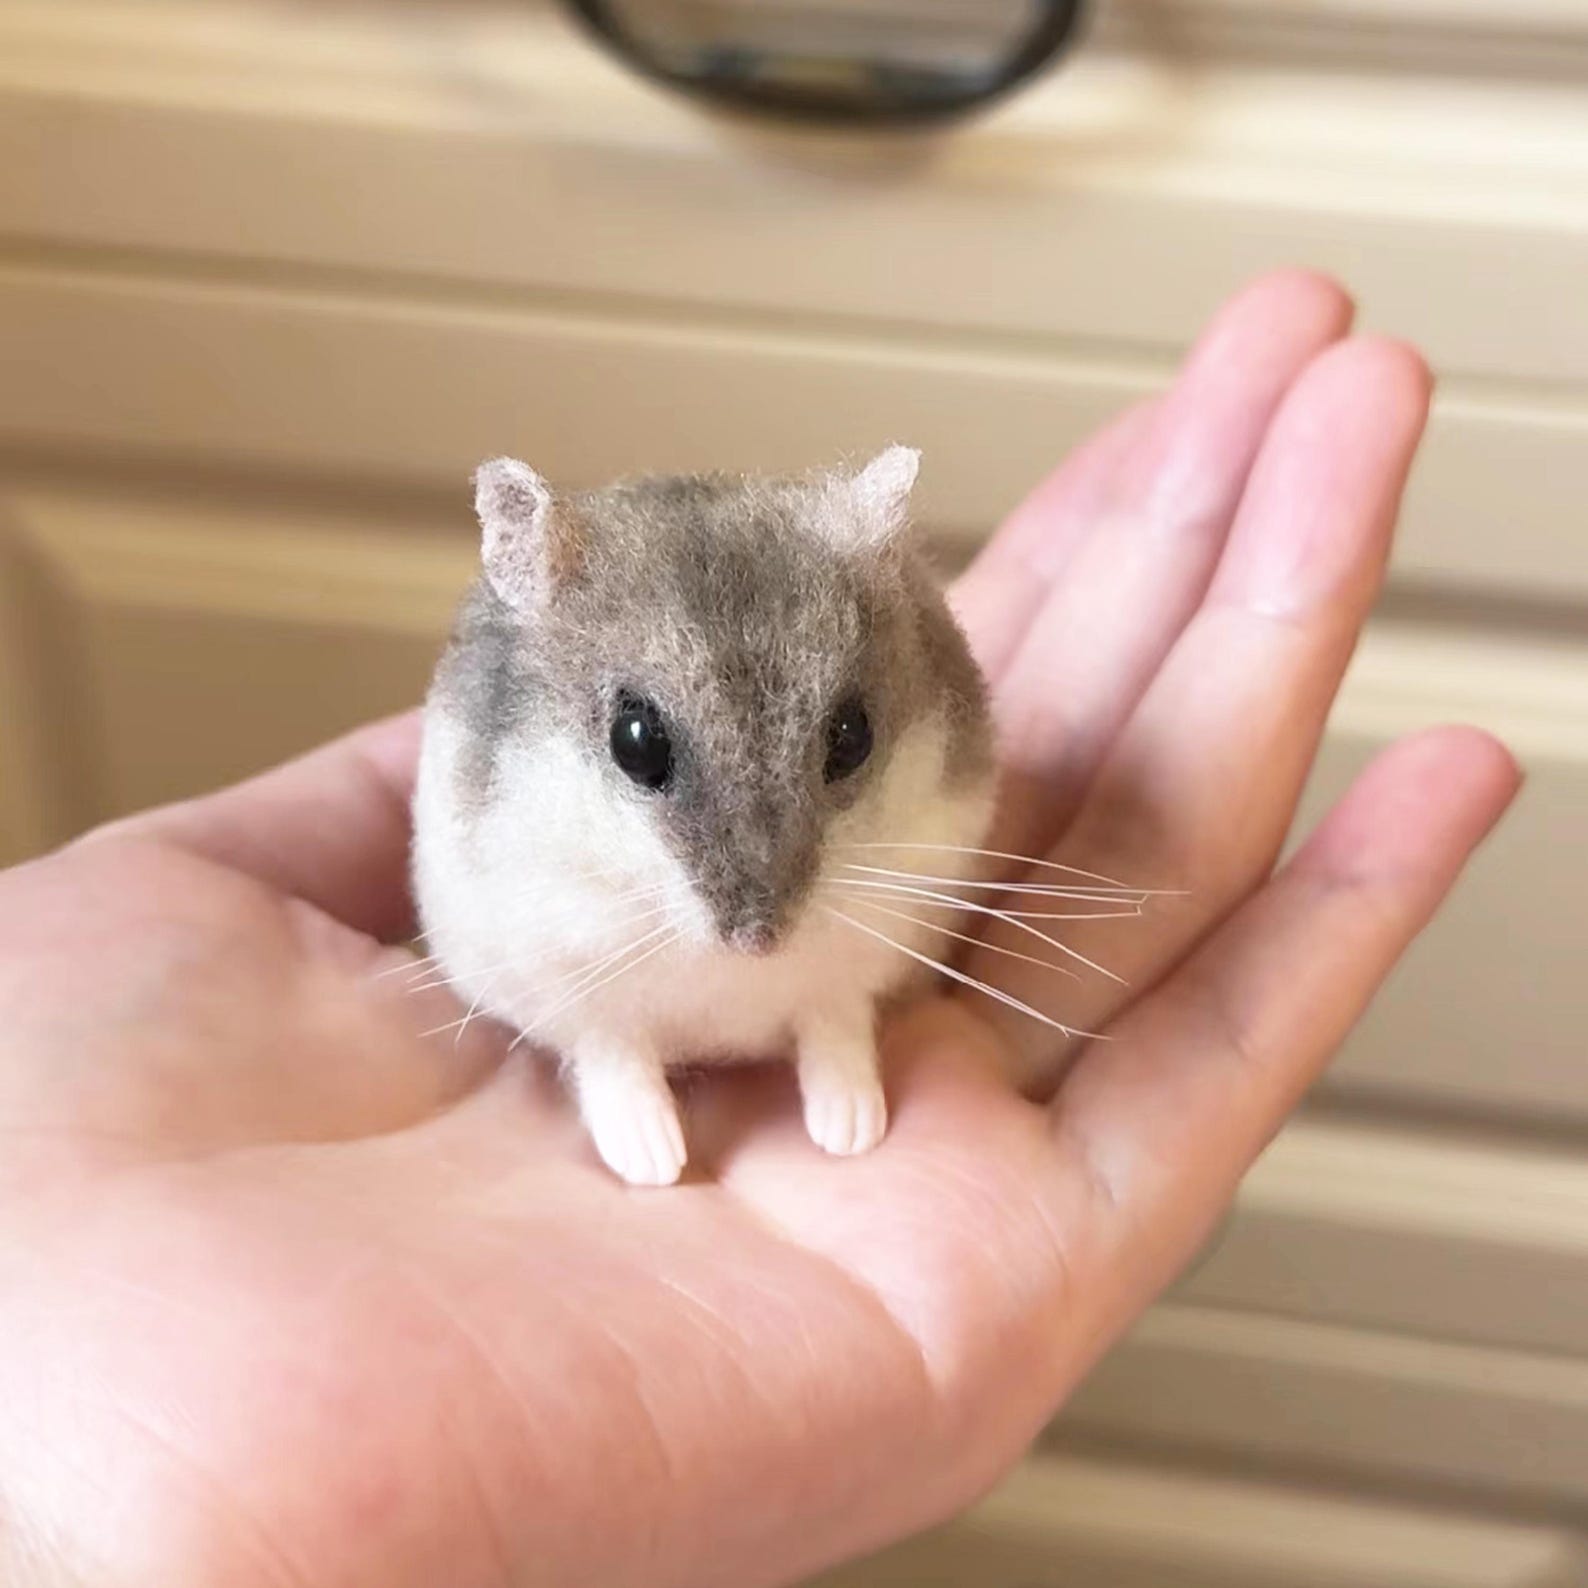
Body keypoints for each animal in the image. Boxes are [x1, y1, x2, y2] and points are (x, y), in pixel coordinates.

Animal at [412, 447, 996, 1186]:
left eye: (853, 736)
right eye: (635, 741)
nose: (758, 941)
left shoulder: (871, 952)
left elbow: (836, 1025)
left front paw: (852, 1134)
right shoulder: (565, 979)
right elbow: (615, 1056)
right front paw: (655, 1165)